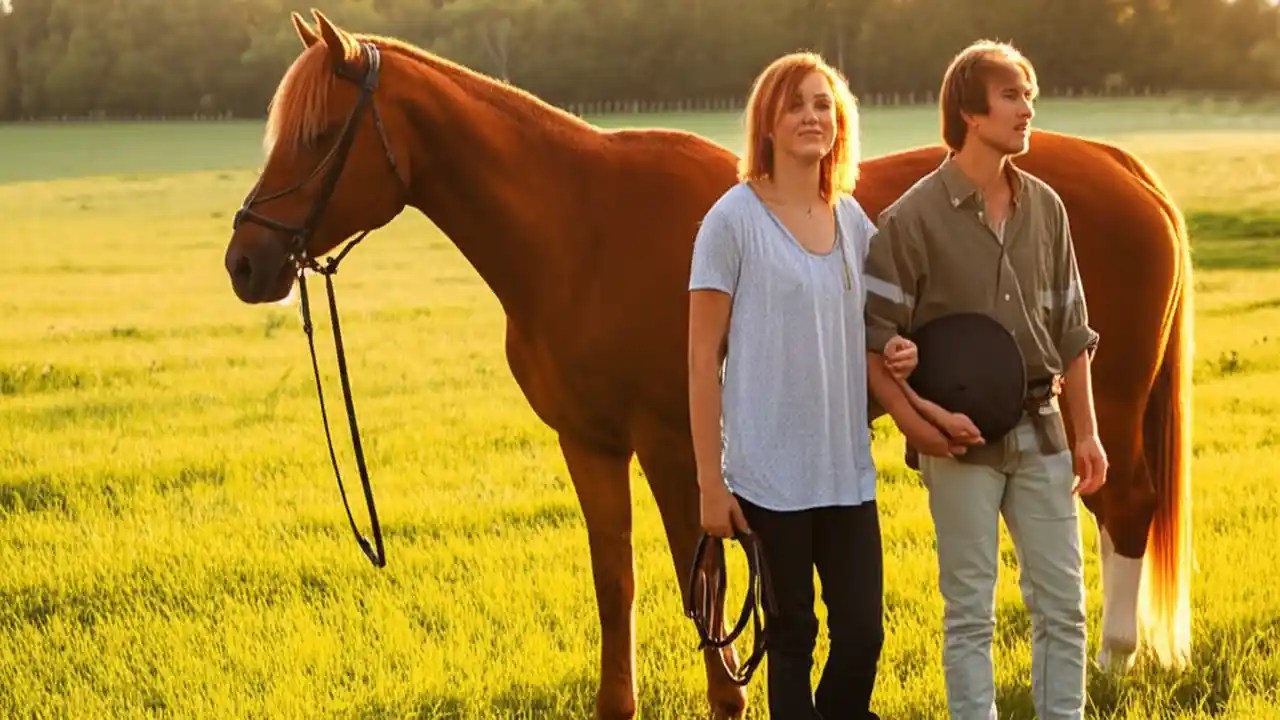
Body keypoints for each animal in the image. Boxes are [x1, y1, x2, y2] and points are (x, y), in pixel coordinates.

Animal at [222, 10, 1193, 719]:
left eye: (318, 133)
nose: (246, 264)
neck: (582, 230)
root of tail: (1123, 166)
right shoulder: (591, 444)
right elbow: (617, 580)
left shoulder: (673, 446)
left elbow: (708, 587)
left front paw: (729, 697)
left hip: (1099, 401)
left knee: (1125, 503)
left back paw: (1114, 664)